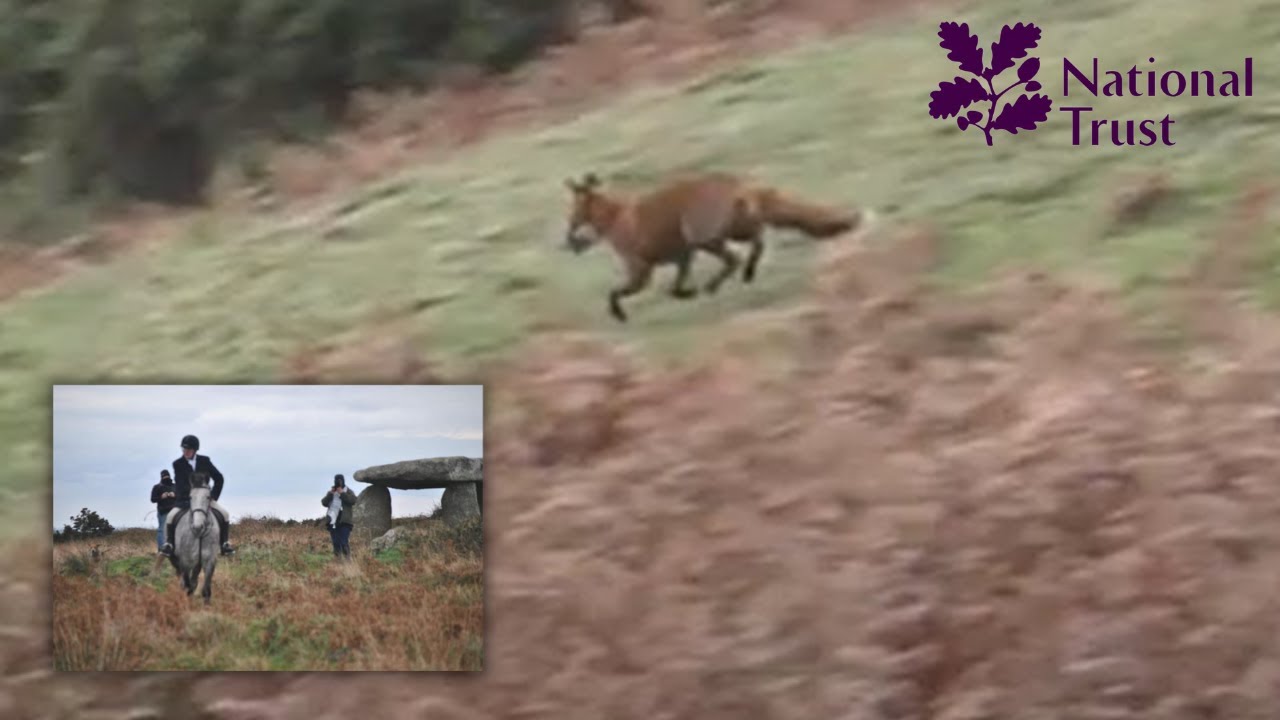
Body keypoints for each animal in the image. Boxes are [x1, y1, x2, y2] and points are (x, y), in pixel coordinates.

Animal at [563, 171, 869, 322]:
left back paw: (717, 284)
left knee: (734, 258)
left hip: (705, 237)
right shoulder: (683, 257)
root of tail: (737, 183)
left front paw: (619, 315)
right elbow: (674, 288)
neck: (615, 219)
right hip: (736, 230)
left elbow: (613, 294)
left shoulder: (641, 270)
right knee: (757, 243)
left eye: (573, 211)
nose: (566, 240)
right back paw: (747, 274)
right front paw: (687, 293)